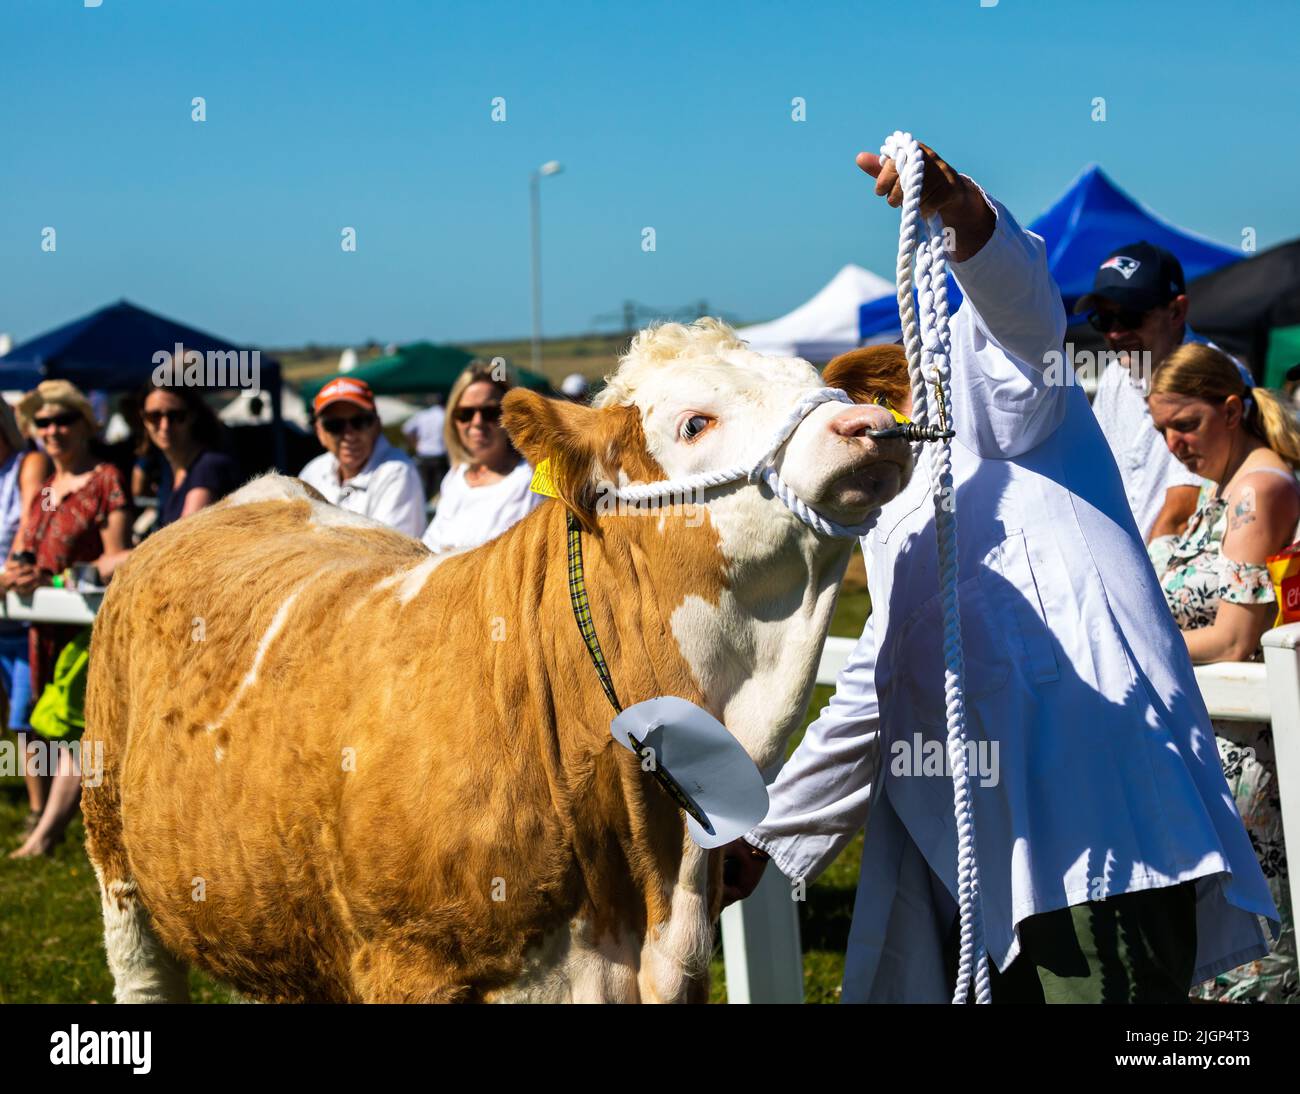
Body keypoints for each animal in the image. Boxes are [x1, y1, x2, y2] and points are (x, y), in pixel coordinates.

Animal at [82, 320, 912, 1003]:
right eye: (694, 422)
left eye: (826, 388)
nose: (871, 424)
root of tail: (260, 491)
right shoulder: (405, 966)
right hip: (115, 861)